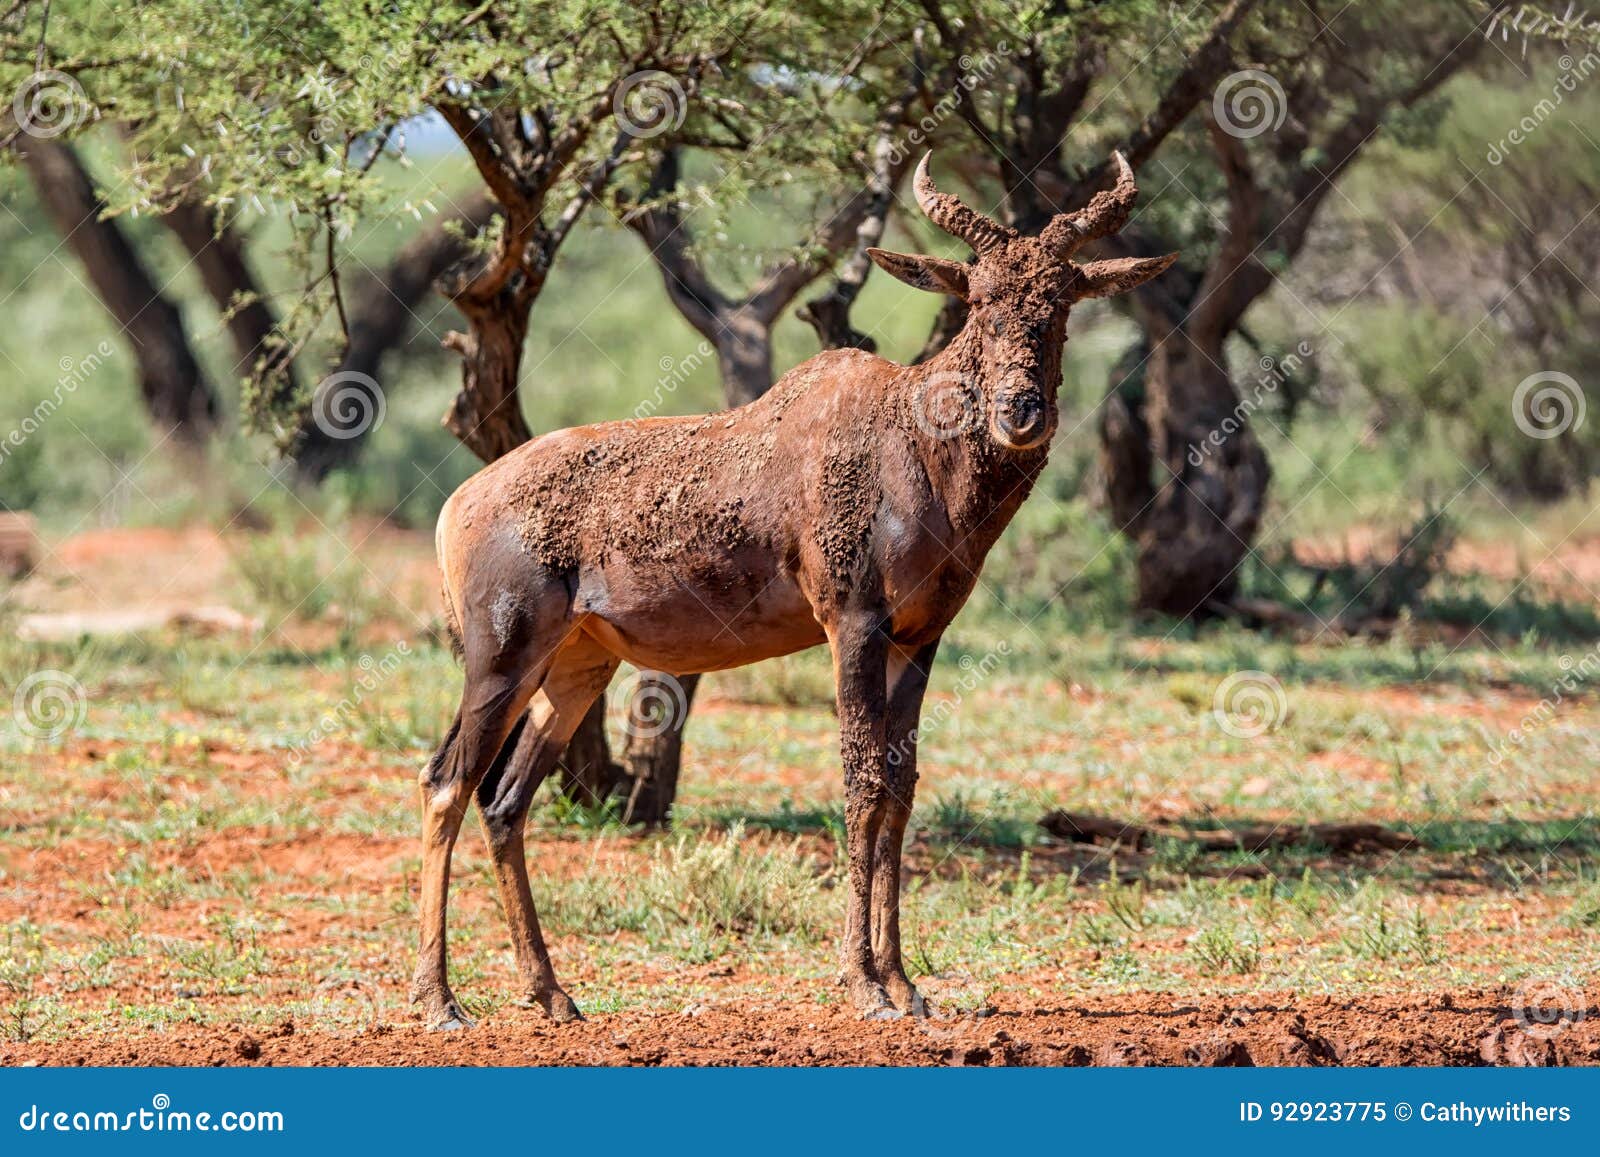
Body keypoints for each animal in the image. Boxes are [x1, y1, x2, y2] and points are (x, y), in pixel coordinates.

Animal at [414, 151, 1175, 1028]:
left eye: (1062, 299)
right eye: (978, 300)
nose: (1022, 414)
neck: (903, 430)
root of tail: (459, 502)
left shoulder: (919, 639)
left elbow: (901, 787)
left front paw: (906, 983)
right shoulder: (853, 624)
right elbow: (862, 781)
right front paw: (864, 984)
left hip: (574, 667)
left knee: (506, 801)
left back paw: (552, 992)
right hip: (500, 660)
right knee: (446, 783)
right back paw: (440, 1001)